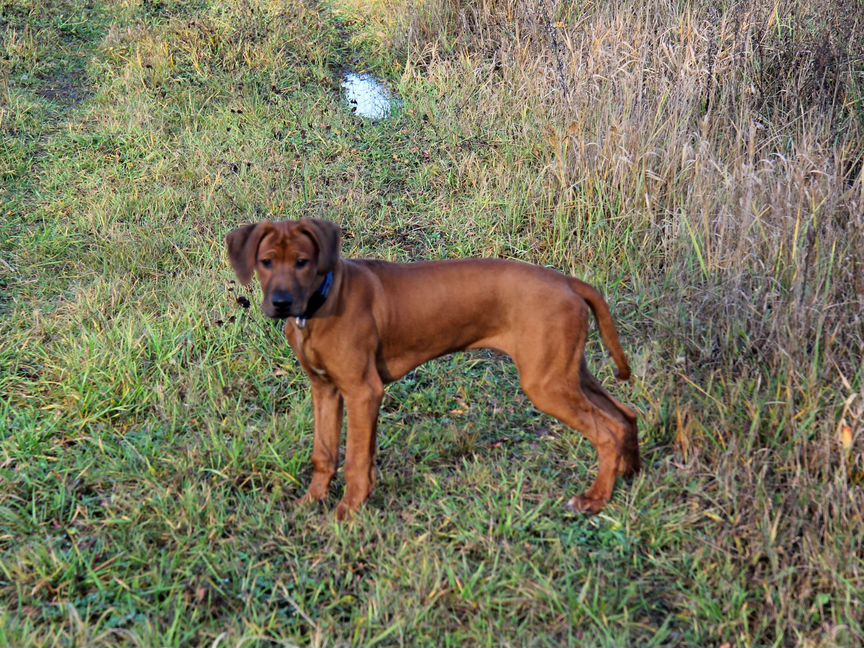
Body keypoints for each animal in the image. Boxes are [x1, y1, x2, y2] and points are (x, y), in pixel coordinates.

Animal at [226, 220, 636, 520]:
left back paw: (595, 499)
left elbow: (356, 458)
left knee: (607, 431)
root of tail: (568, 281)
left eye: (302, 262)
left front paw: (347, 512)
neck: (322, 300)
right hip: (569, 371)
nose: (280, 303)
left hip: (547, 383)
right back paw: (629, 474)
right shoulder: (324, 389)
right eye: (266, 262)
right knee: (625, 415)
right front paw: (311, 503)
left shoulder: (363, 391)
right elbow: (323, 453)